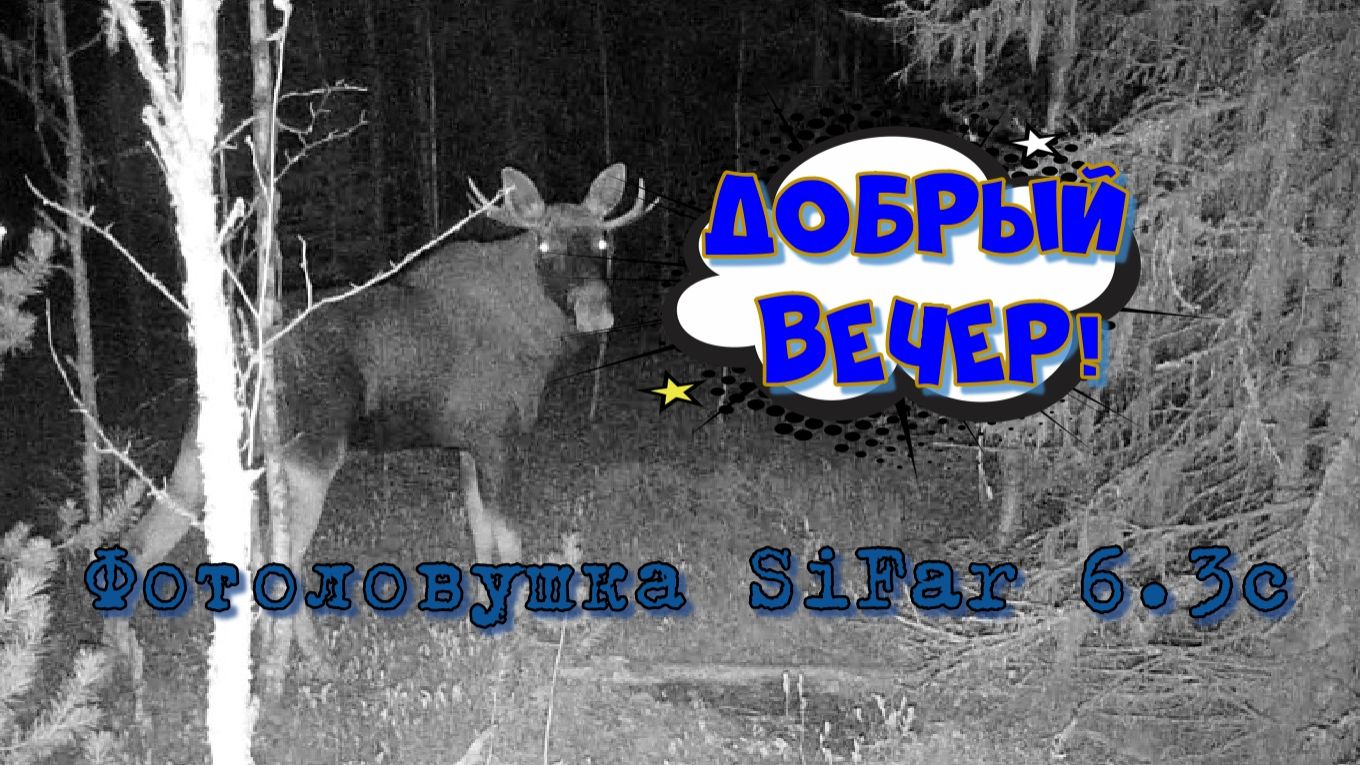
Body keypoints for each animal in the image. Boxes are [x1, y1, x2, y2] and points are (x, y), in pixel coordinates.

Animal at [117, 163, 654, 680]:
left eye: (602, 242)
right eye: (545, 245)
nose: (595, 311)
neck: (540, 342)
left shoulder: (468, 443)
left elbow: (479, 527)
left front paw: (485, 611)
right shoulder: (497, 437)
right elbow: (509, 535)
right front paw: (517, 625)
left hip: (206, 449)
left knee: (143, 543)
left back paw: (129, 663)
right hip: (310, 454)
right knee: (277, 558)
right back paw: (311, 661)